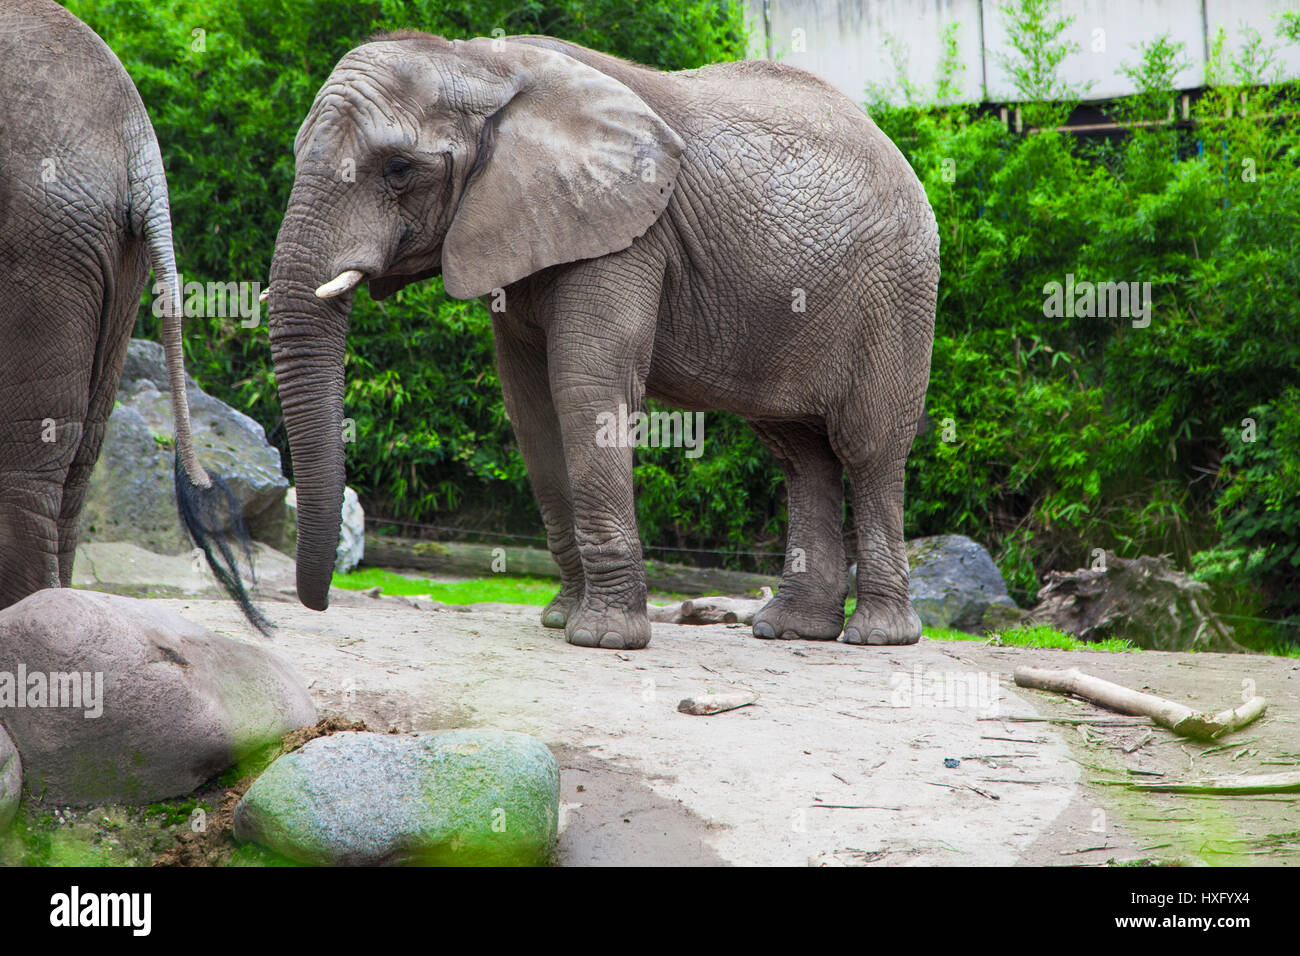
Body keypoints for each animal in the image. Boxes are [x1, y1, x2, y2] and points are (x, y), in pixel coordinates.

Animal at [267, 32, 937, 650]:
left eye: (399, 169)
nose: (318, 605)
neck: (483, 62)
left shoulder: (629, 231)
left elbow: (585, 387)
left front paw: (603, 638)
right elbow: (532, 406)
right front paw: (561, 619)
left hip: (896, 294)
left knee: (868, 447)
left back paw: (877, 636)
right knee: (800, 453)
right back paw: (792, 629)